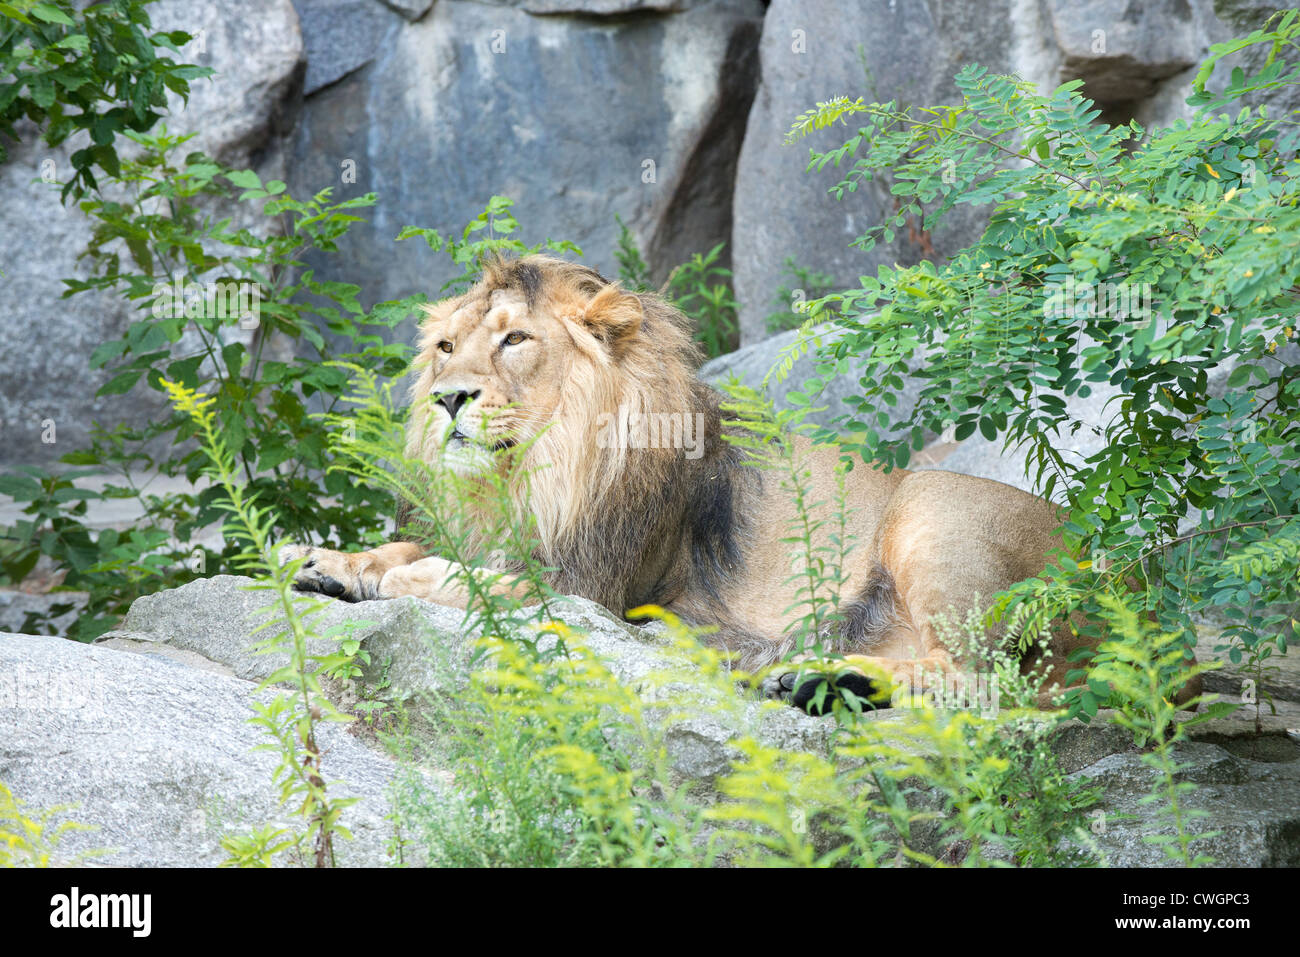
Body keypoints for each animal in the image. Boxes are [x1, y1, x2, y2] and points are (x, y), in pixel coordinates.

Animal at [284, 254, 1199, 712]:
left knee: (982, 681)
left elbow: (462, 578)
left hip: (931, 510)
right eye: (446, 348)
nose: (448, 398)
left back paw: (828, 682)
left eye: (514, 340)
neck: (523, 477)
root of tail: (1143, 599)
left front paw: (394, 578)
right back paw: (812, 676)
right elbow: (404, 547)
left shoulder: (587, 585)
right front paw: (327, 560)